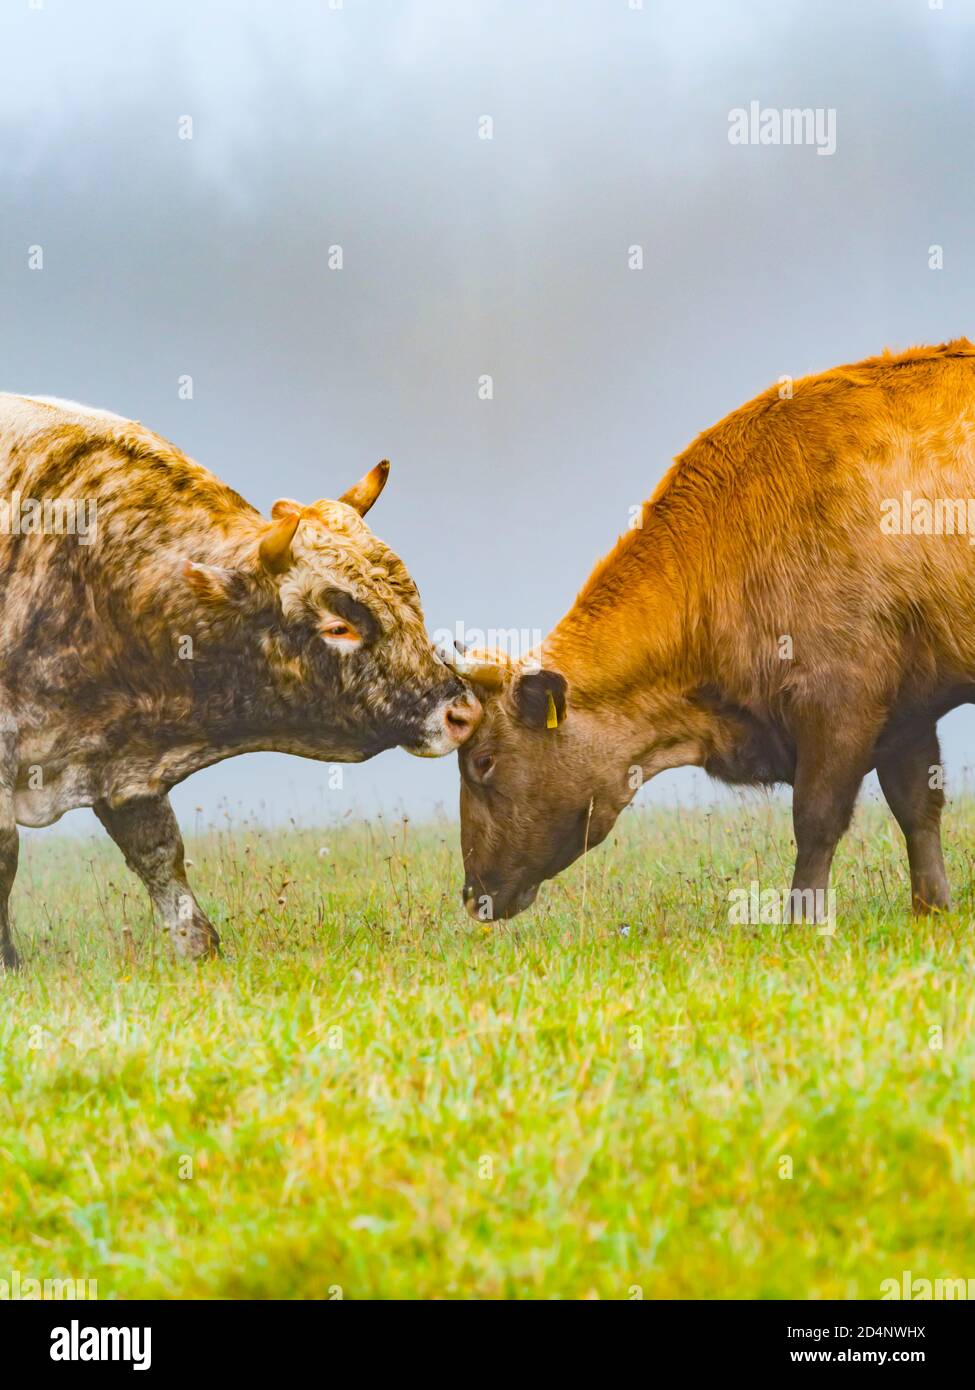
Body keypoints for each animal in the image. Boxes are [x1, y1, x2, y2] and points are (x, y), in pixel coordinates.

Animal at [0, 393, 480, 967]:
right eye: (338, 627)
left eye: (412, 601)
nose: (462, 712)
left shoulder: (123, 761)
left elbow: (158, 851)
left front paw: (196, 947)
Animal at [454, 339, 975, 922]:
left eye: (483, 761)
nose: (472, 894)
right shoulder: (908, 710)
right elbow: (917, 809)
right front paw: (932, 910)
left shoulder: (840, 699)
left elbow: (816, 819)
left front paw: (801, 920)